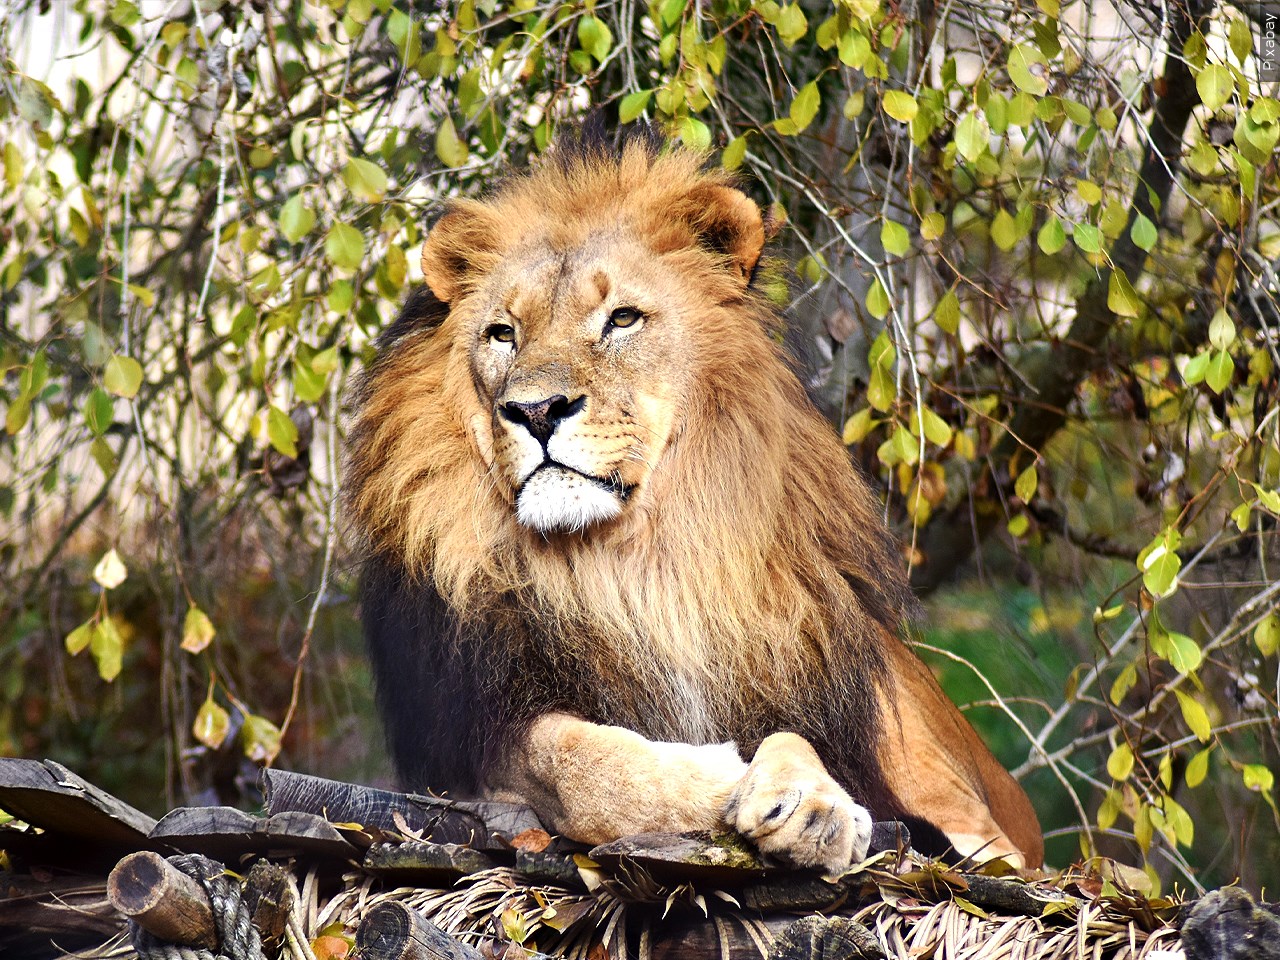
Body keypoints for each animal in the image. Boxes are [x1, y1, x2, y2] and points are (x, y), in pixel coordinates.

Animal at [345, 129, 1043, 872]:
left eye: (622, 319)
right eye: (503, 333)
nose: (535, 411)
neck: (635, 567)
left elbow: (797, 741)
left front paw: (812, 803)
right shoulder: (470, 740)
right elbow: (585, 765)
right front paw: (728, 777)